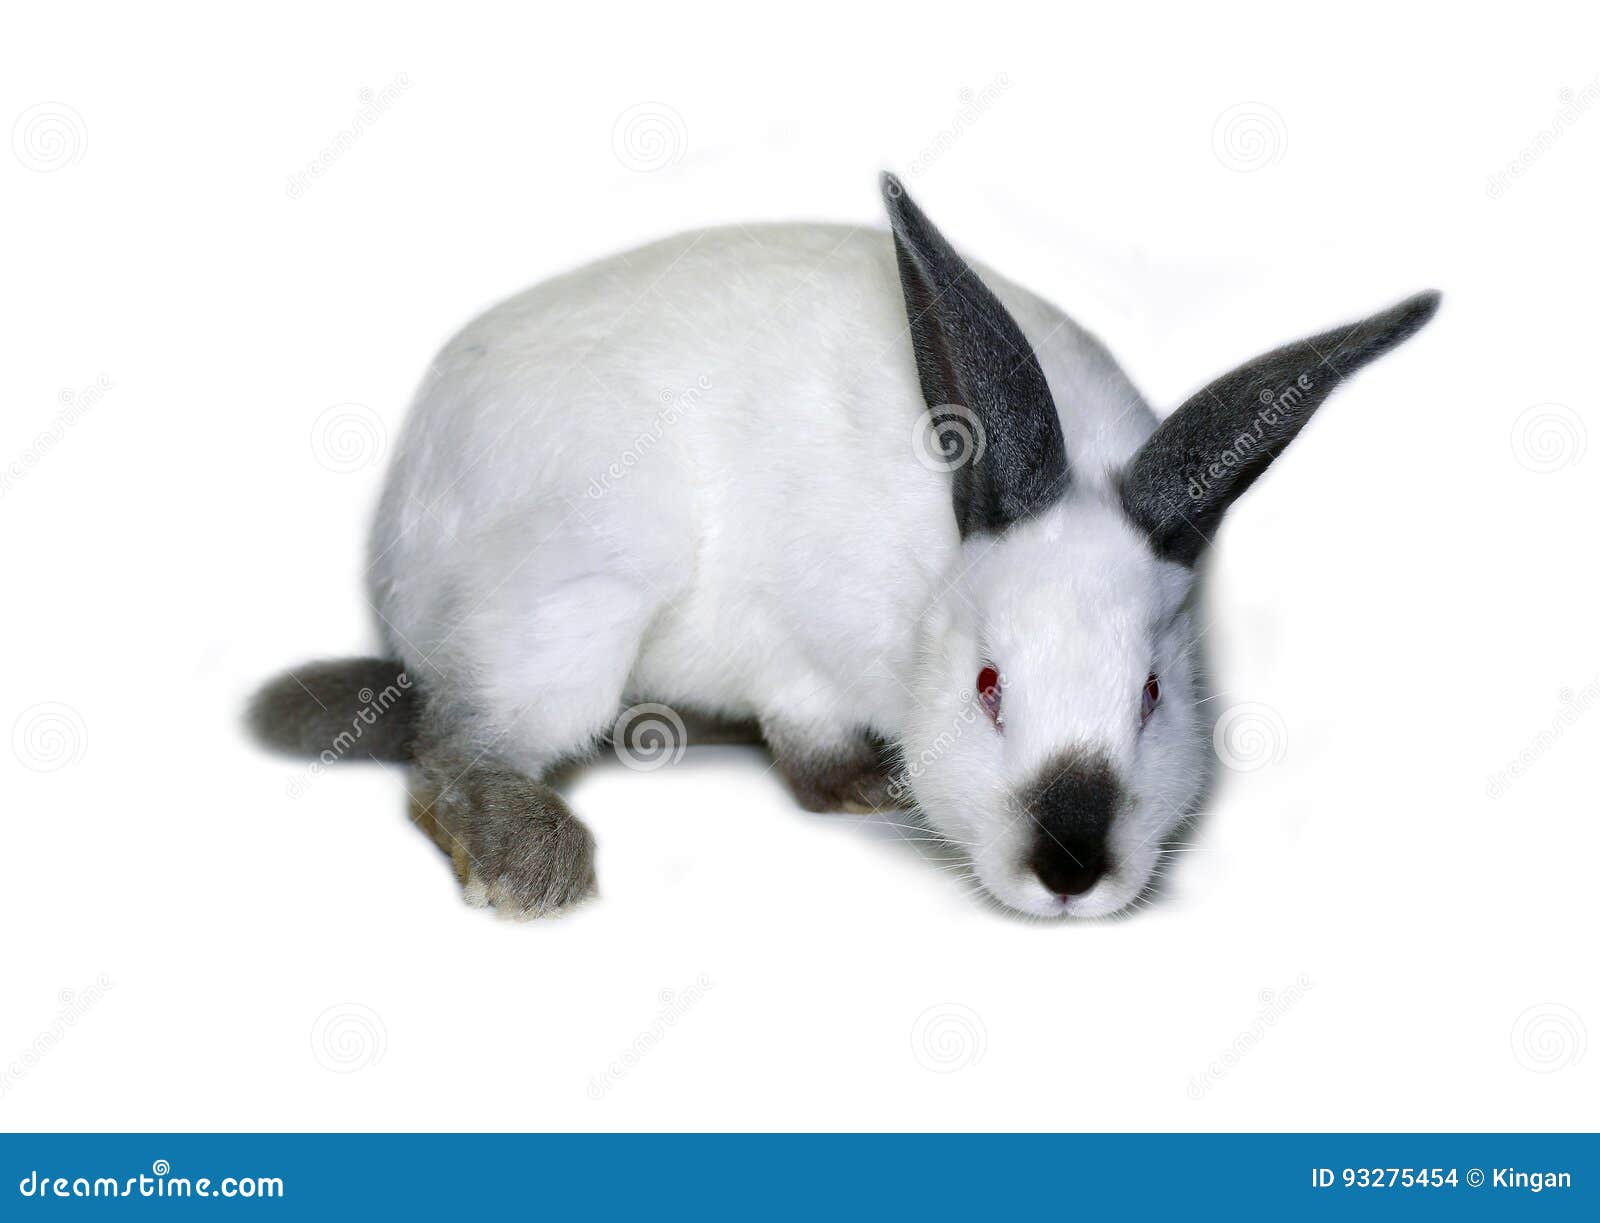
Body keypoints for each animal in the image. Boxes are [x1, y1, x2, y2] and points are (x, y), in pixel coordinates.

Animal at [250, 173, 1439, 920]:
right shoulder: (794, 642)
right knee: (455, 750)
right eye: (987, 684)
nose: (1069, 870)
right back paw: (528, 865)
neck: (931, 579)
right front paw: (871, 785)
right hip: (577, 592)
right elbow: (806, 734)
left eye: (1153, 695)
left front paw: (872, 790)